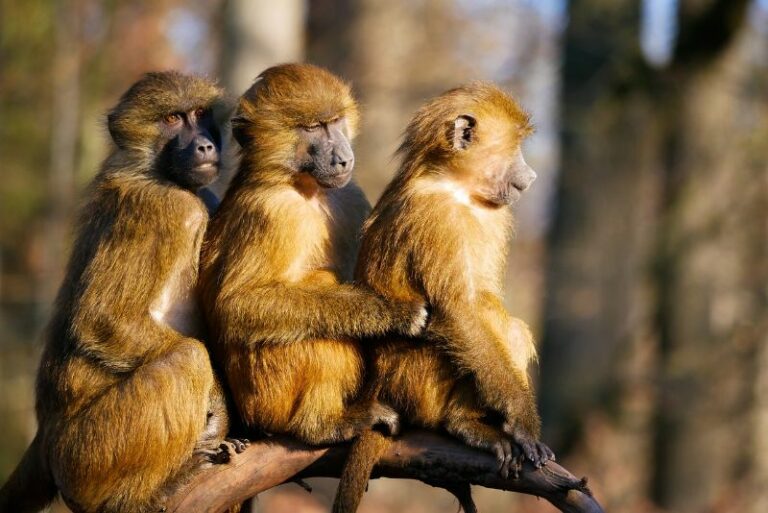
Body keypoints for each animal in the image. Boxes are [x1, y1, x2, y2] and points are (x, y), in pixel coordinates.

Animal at [0, 71, 247, 513]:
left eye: (201, 113)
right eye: (172, 118)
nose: (204, 145)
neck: (152, 171)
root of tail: (45, 440)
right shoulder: (164, 208)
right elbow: (100, 319)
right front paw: (220, 409)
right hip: (88, 456)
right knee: (188, 357)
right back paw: (139, 497)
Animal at [199, 63, 427, 447]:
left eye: (334, 122)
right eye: (311, 128)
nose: (343, 159)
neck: (305, 187)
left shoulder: (349, 192)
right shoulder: (271, 212)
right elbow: (237, 306)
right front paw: (390, 311)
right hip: (267, 394)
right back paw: (322, 424)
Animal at [332, 82, 555, 513]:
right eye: (517, 146)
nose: (533, 175)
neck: (457, 188)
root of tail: (379, 388)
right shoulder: (436, 218)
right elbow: (459, 313)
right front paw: (522, 423)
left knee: (506, 324)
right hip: (411, 381)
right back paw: (463, 423)